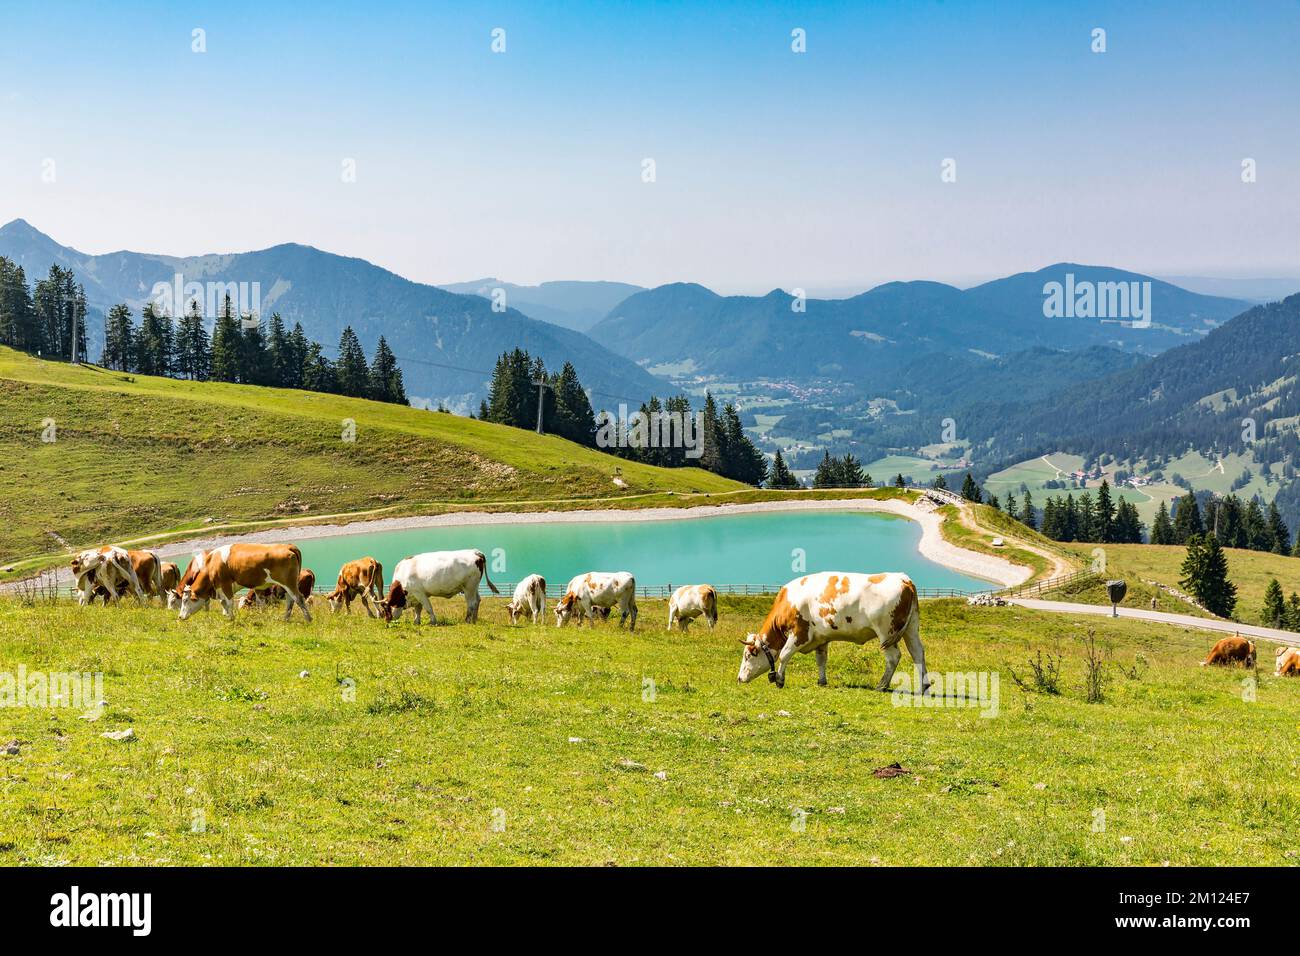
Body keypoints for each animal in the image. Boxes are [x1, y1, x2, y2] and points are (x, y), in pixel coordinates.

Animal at [178, 544, 312, 622]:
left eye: (185, 600)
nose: (179, 617)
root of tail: (288, 546)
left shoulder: (226, 584)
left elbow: (229, 602)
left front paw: (231, 618)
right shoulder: (219, 588)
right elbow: (223, 602)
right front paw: (226, 615)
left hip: (289, 583)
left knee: (299, 599)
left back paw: (308, 619)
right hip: (286, 585)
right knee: (290, 600)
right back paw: (286, 619)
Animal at [737, 572, 927, 691]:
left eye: (748, 655)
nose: (739, 678)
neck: (789, 601)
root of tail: (904, 579)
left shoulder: (800, 633)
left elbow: (784, 655)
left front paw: (779, 679)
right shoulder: (821, 638)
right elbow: (821, 660)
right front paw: (822, 681)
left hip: (886, 632)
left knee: (894, 657)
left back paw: (882, 685)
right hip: (911, 628)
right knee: (917, 652)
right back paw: (923, 686)